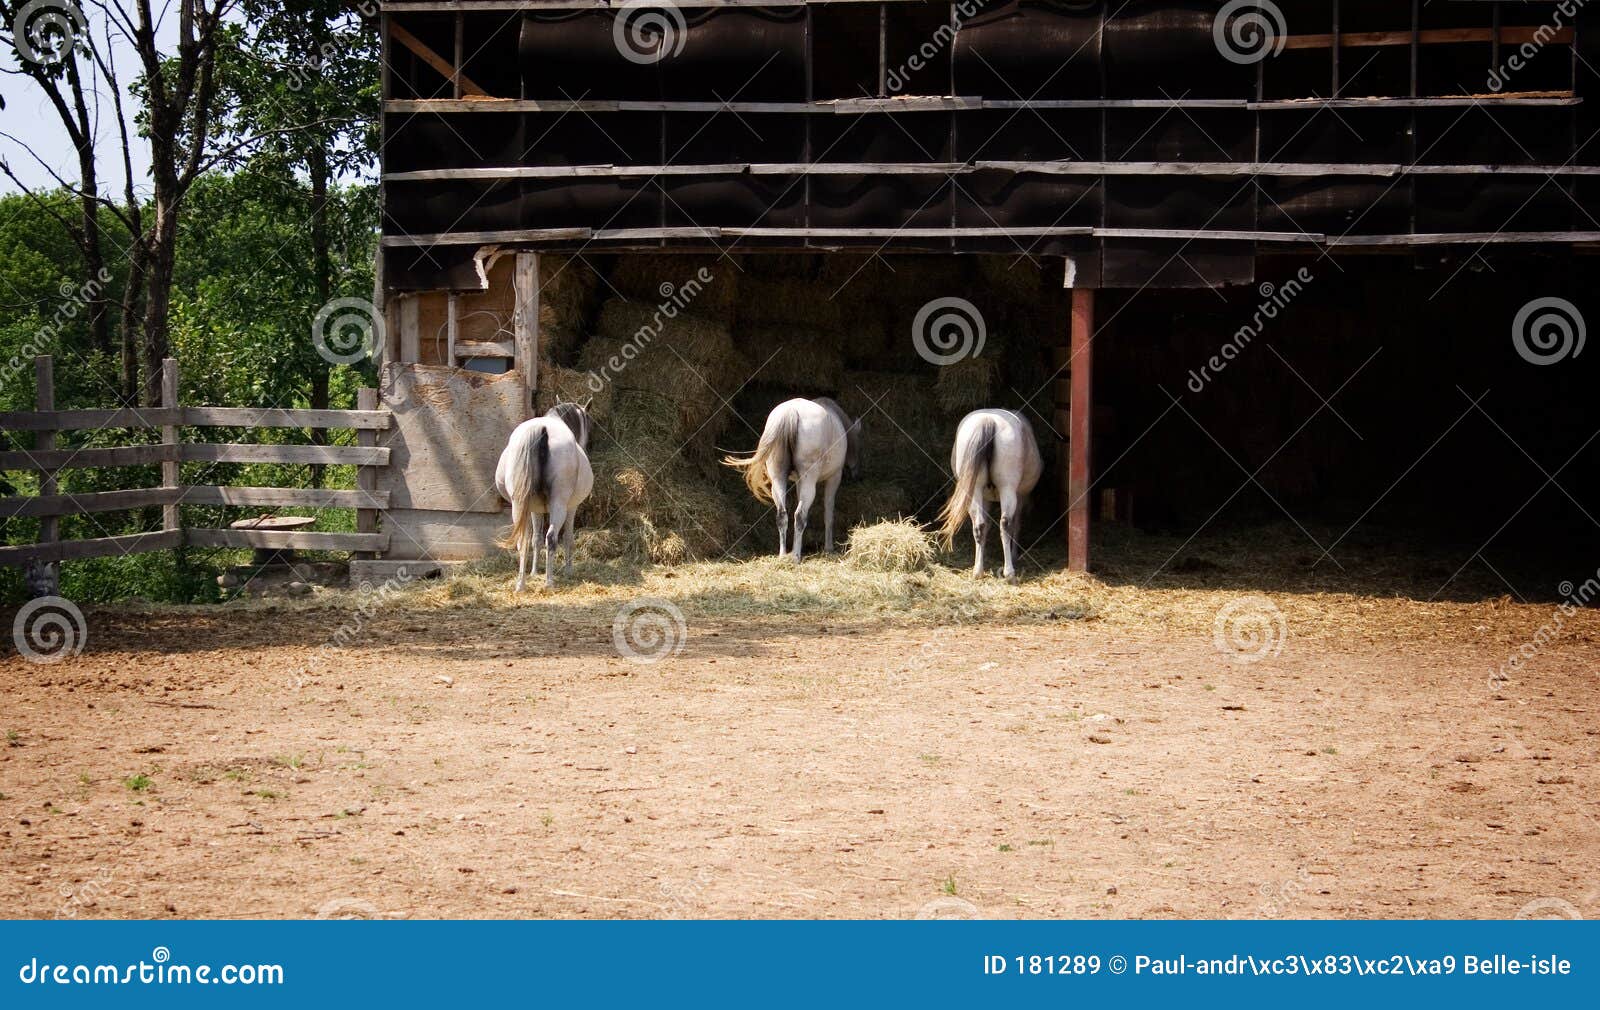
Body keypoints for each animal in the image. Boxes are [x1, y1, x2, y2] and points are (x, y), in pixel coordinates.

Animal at [494, 405, 595, 590]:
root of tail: (543, 428)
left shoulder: (535, 510)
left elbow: (536, 539)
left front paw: (534, 572)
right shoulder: (572, 508)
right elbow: (568, 538)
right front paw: (568, 571)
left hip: (519, 505)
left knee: (524, 540)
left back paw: (521, 584)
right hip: (559, 505)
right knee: (552, 538)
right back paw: (549, 582)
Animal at [723, 396, 860, 561]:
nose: (856, 475)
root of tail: (791, 412)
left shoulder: (799, 483)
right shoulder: (834, 477)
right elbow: (829, 513)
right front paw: (829, 548)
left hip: (778, 480)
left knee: (782, 515)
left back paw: (783, 555)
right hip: (809, 481)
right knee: (800, 515)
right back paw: (795, 557)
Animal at [937, 408, 1042, 582]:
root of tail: (988, 421)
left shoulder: (985, 498)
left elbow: (985, 526)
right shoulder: (1019, 497)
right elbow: (1016, 524)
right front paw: (1014, 555)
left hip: (974, 490)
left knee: (979, 525)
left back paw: (978, 570)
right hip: (1007, 489)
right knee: (1005, 525)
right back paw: (1009, 572)